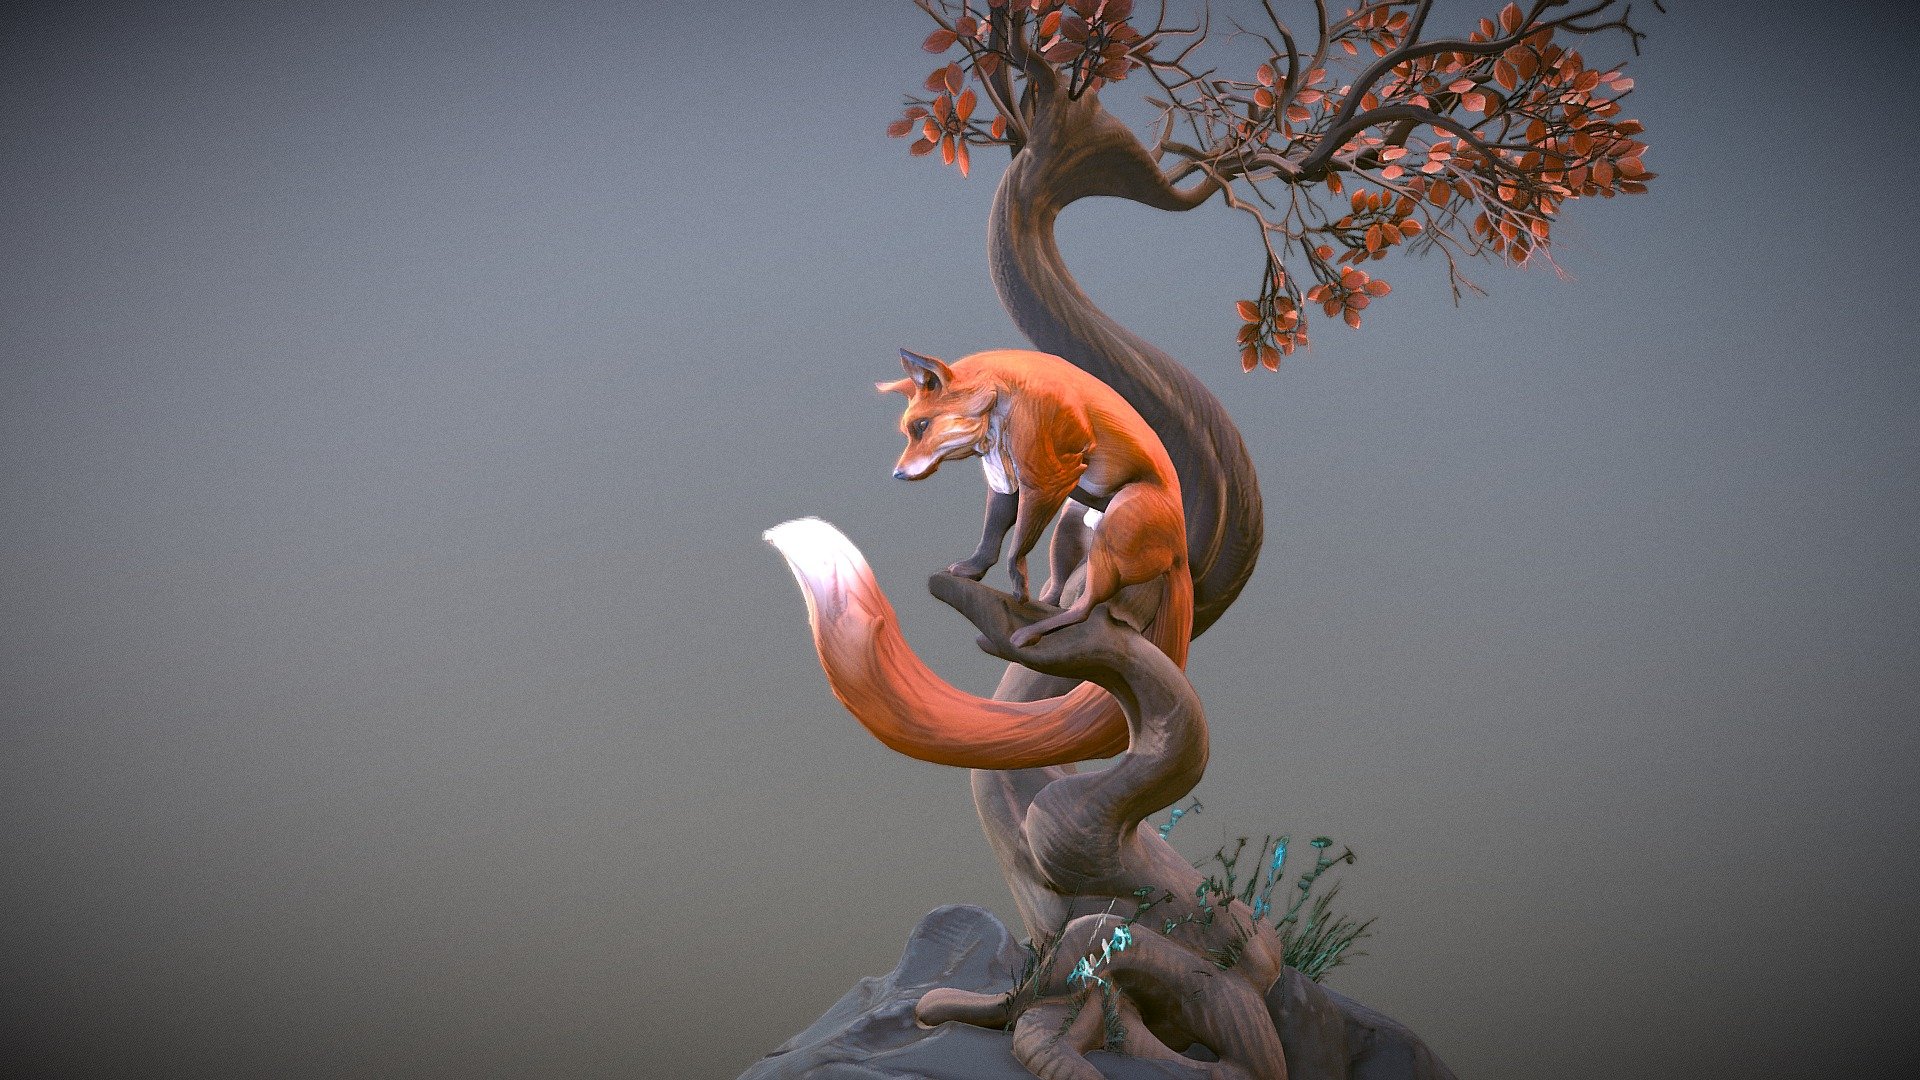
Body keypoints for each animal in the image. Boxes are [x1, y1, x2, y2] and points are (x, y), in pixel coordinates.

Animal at [878, 348, 1190, 650]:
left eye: (921, 425)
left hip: (1112, 533)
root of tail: (1181, 553)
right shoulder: (1007, 480)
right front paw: (972, 571)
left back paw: (1029, 634)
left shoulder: (1048, 479)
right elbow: (991, 537)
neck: (1004, 394)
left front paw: (1018, 590)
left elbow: (1016, 549)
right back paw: (1041, 610)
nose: (897, 474)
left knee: (1084, 609)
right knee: (1059, 593)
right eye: (909, 431)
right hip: (1070, 526)